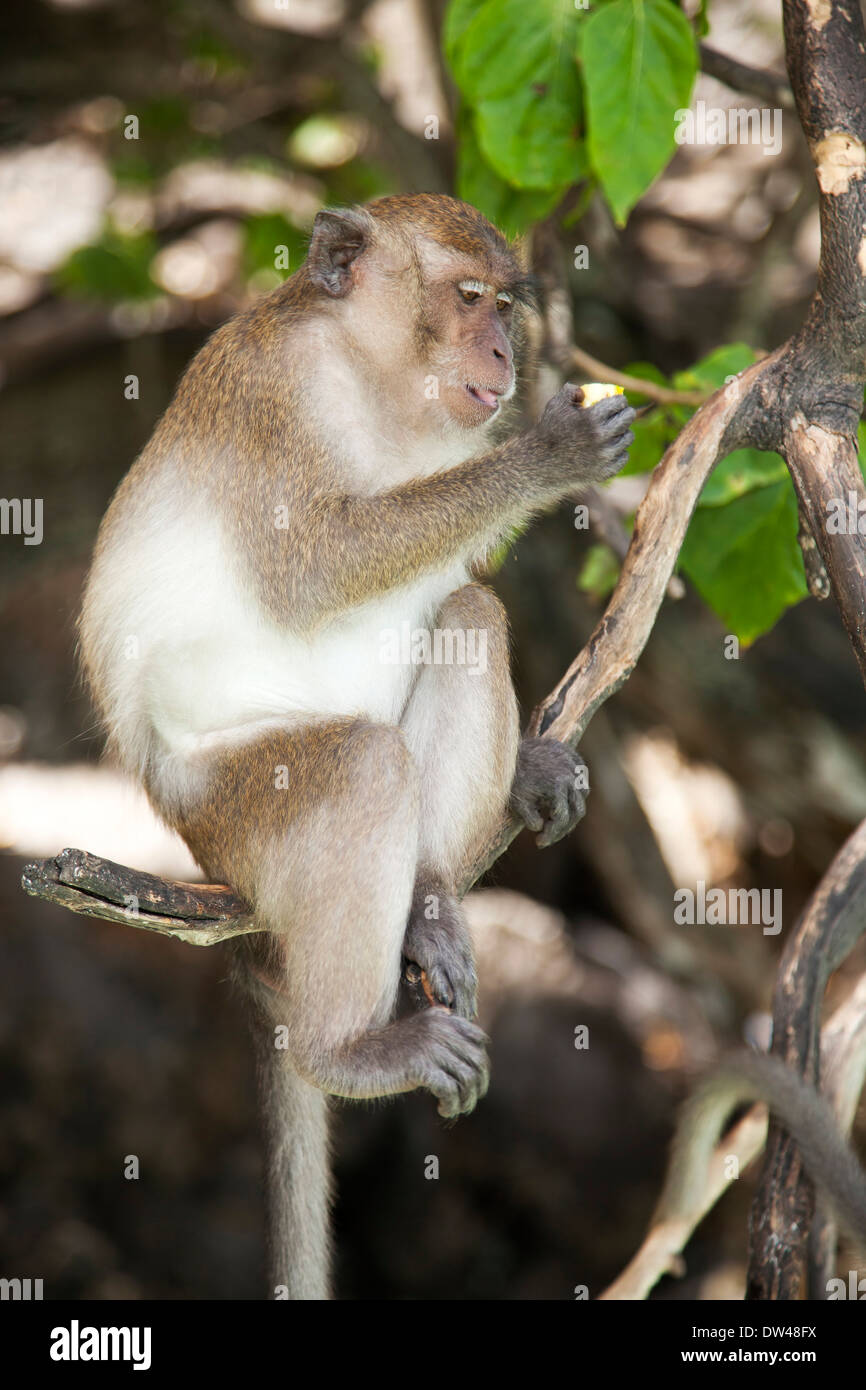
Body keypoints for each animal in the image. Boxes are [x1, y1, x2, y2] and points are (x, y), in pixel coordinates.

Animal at [78, 193, 636, 1299]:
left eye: (503, 303)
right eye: (468, 295)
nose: (504, 349)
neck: (377, 387)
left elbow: (455, 579)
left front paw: (527, 771)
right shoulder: (275, 395)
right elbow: (315, 563)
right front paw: (545, 457)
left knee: (466, 618)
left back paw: (426, 900)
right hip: (229, 809)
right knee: (362, 767)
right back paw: (344, 1050)